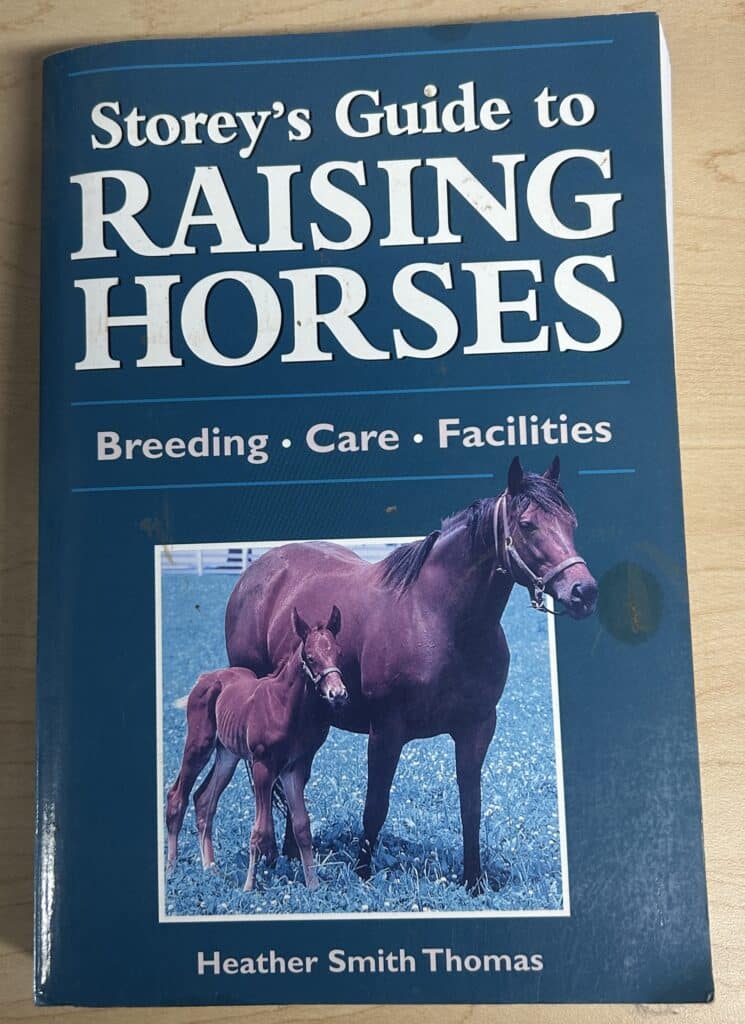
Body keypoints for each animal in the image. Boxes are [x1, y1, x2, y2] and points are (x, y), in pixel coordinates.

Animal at [166, 606, 348, 891]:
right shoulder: (263, 765)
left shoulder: (295, 767)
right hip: (199, 744)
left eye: (338, 652)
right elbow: (260, 830)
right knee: (177, 797)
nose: (337, 694)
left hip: (227, 755)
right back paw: (171, 868)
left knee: (204, 800)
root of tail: (204, 678)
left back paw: (210, 867)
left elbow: (302, 825)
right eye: (310, 657)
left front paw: (313, 884)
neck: (287, 706)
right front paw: (249, 886)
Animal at [225, 456, 598, 891]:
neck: (436, 619)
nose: (584, 591)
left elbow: (471, 806)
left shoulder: (477, 728)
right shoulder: (386, 731)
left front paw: (473, 880)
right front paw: (363, 873)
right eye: (527, 524)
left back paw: (290, 851)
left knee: (294, 777)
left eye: (571, 522)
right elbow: (376, 805)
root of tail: (256, 574)